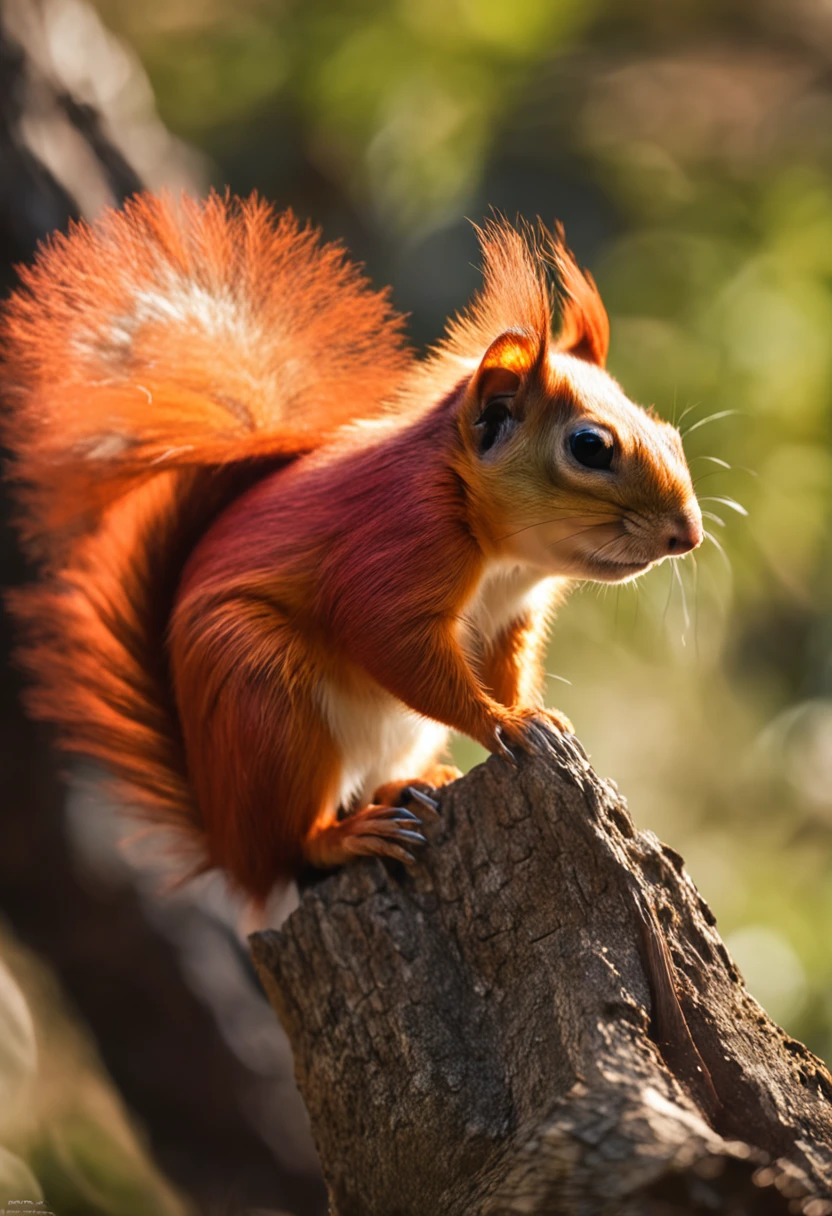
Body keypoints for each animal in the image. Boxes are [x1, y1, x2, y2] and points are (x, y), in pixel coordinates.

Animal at [0, 191, 702, 906]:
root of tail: (232, 852)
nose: (690, 534)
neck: (501, 553)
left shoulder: (508, 615)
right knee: (297, 846)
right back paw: (342, 837)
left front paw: (533, 711)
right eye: (590, 446)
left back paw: (411, 787)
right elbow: (386, 637)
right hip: (262, 699)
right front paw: (502, 724)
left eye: (671, 434)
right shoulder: (397, 541)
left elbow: (504, 664)